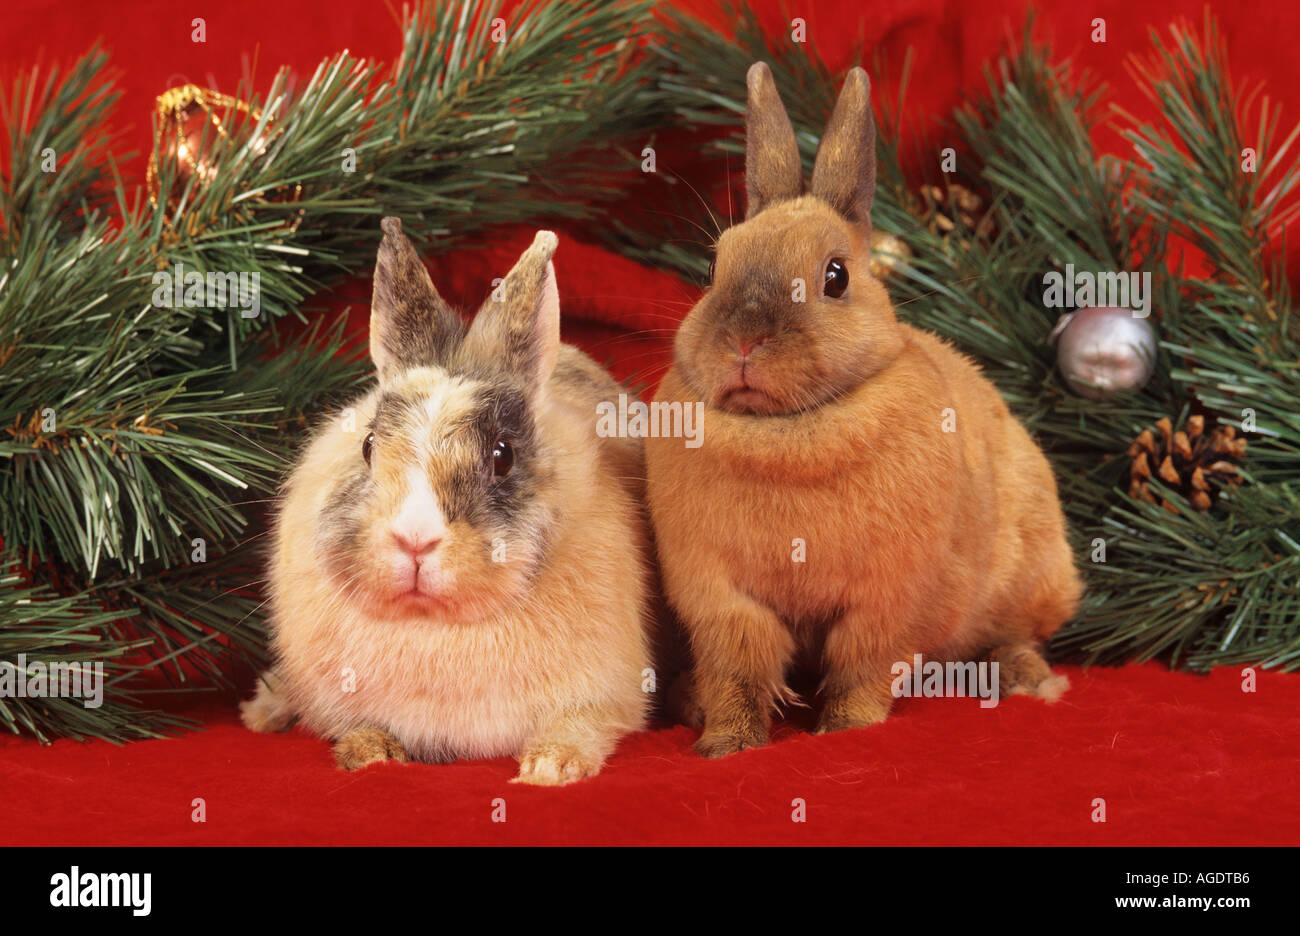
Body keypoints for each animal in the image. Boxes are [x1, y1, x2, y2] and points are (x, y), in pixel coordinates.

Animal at [240, 218, 652, 785]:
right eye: (368, 445)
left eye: (502, 455)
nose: (415, 540)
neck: (434, 624)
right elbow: (356, 727)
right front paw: (372, 753)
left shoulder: (604, 698)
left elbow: (580, 727)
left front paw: (550, 767)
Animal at [644, 63, 1083, 759]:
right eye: (715, 265)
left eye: (836, 277)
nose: (743, 341)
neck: (787, 430)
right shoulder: (722, 600)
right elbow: (738, 670)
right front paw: (726, 743)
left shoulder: (887, 600)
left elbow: (862, 664)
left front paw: (846, 729)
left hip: (1031, 579)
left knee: (1017, 632)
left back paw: (1024, 678)